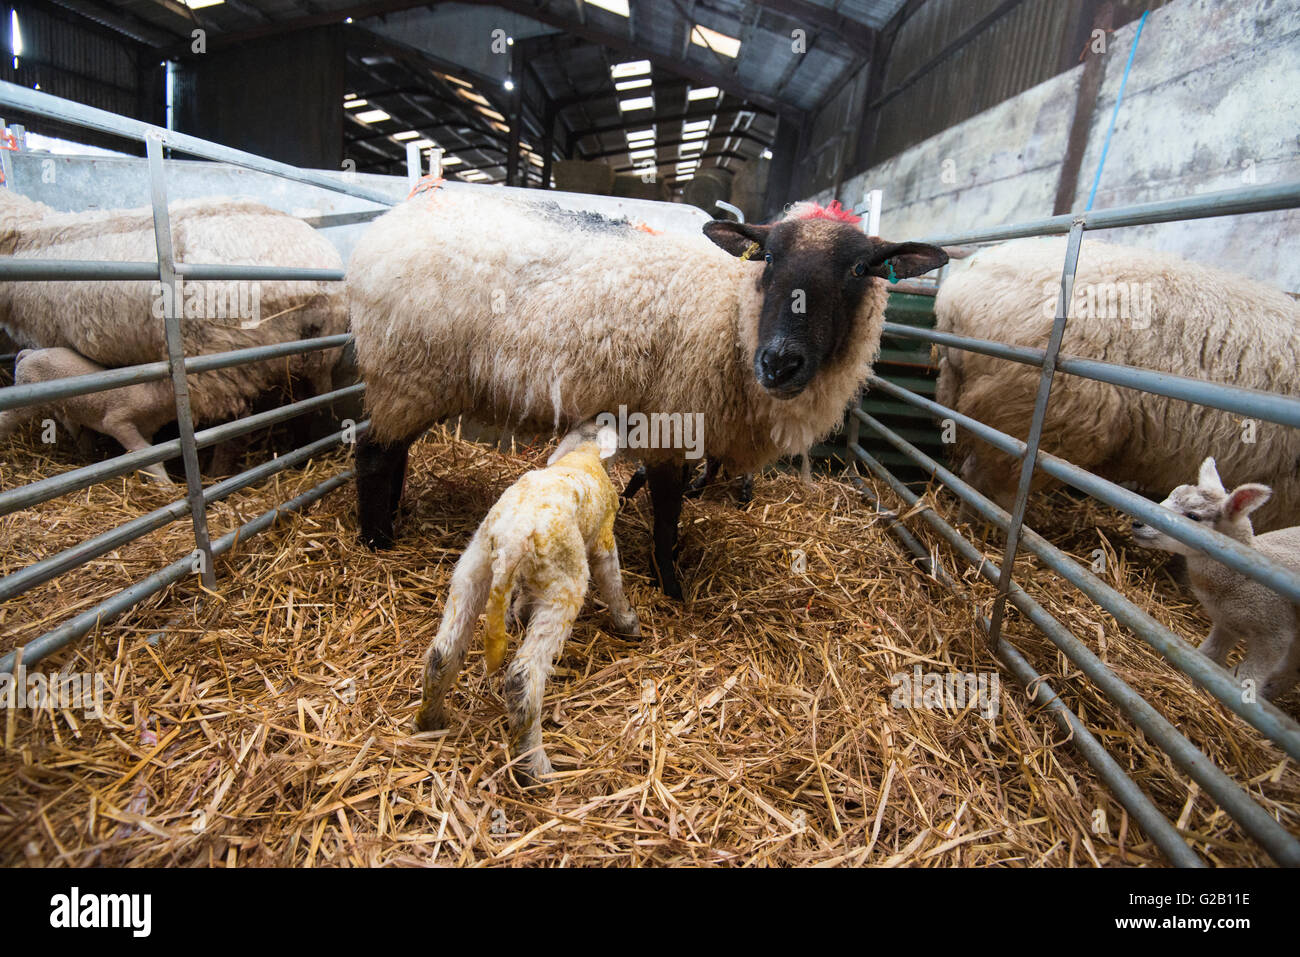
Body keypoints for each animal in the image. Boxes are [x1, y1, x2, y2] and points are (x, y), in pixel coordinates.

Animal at [0, 347, 175, 483]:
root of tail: (28, 353)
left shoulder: (146, 431)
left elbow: (149, 454)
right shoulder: (118, 421)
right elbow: (149, 454)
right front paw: (166, 485)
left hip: (61, 404)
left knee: (68, 421)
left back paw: (85, 447)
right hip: (25, 394)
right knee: (6, 418)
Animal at [347, 185, 948, 597]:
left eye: (860, 268)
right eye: (769, 258)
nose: (778, 363)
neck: (734, 315)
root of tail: (385, 225)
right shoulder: (673, 416)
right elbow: (665, 513)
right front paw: (671, 583)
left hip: (416, 378)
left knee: (395, 452)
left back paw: (395, 515)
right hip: (408, 370)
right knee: (375, 452)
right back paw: (378, 538)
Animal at [413, 419, 639, 782]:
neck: (583, 454)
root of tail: (512, 539)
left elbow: (525, 595)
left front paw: (519, 610)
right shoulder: (604, 537)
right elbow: (612, 580)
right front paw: (628, 621)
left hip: (473, 568)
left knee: (442, 653)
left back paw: (430, 720)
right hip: (565, 584)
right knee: (523, 676)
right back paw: (535, 766)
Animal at [1132, 457, 1300, 701]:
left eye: (1193, 517)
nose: (1138, 522)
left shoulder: (1274, 636)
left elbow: (1247, 678)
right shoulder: (1225, 623)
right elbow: (1208, 656)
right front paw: (1197, 686)